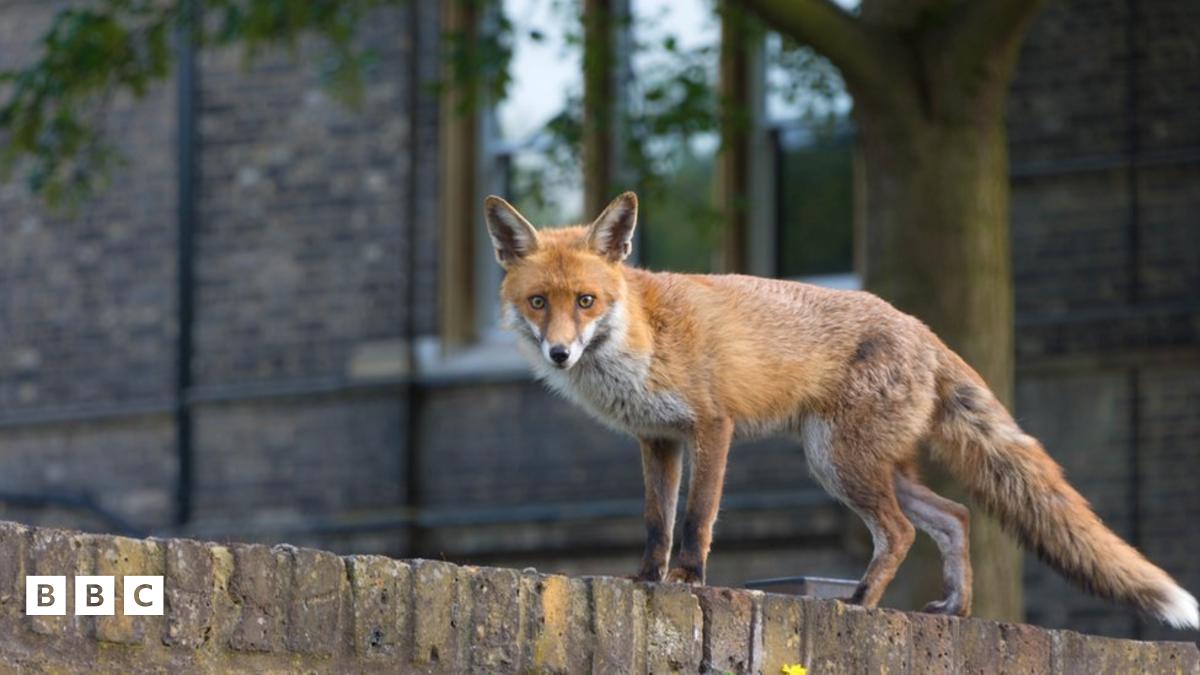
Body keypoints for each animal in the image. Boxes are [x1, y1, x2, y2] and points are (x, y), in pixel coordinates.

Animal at [482, 190, 1199, 628]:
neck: (642, 336)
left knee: (902, 533)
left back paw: (860, 603)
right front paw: (643, 580)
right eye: (540, 302)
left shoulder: (713, 426)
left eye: (586, 300)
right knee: (956, 515)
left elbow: (695, 519)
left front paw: (687, 579)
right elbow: (656, 522)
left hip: (837, 461)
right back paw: (954, 608)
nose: (559, 354)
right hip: (864, 464)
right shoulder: (658, 439)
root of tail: (923, 328)